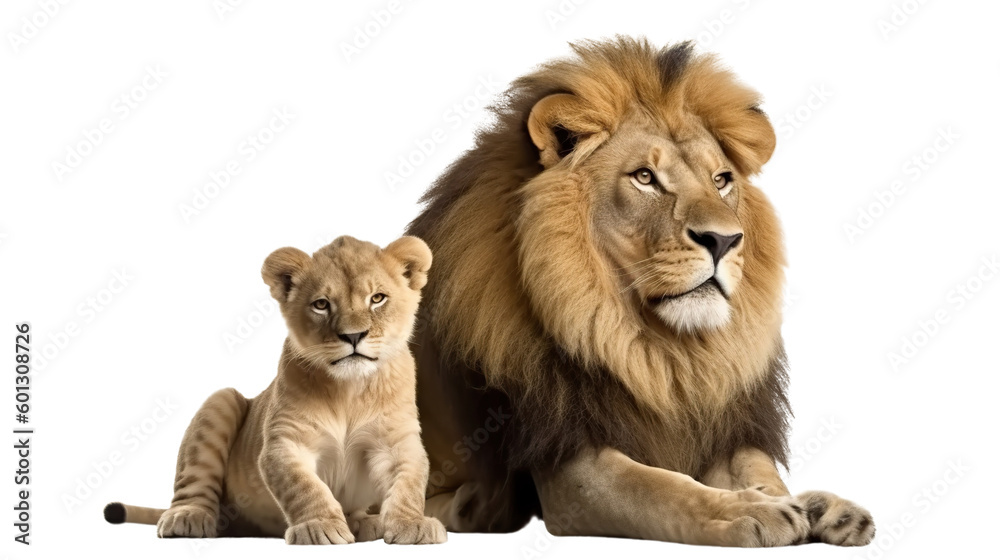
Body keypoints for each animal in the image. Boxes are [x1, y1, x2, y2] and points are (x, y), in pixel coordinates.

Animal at [104, 235, 446, 545]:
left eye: (377, 298)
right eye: (321, 304)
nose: (353, 336)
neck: (349, 388)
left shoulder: (397, 441)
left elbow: (409, 483)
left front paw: (412, 524)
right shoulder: (286, 442)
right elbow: (305, 487)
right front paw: (319, 526)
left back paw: (366, 523)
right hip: (221, 399)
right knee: (195, 484)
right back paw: (187, 517)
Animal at [408, 37, 874, 547]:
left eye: (721, 180)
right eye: (645, 177)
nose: (724, 240)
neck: (660, 354)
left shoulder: (720, 426)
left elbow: (762, 472)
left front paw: (821, 506)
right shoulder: (572, 464)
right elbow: (664, 489)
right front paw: (752, 511)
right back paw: (474, 506)